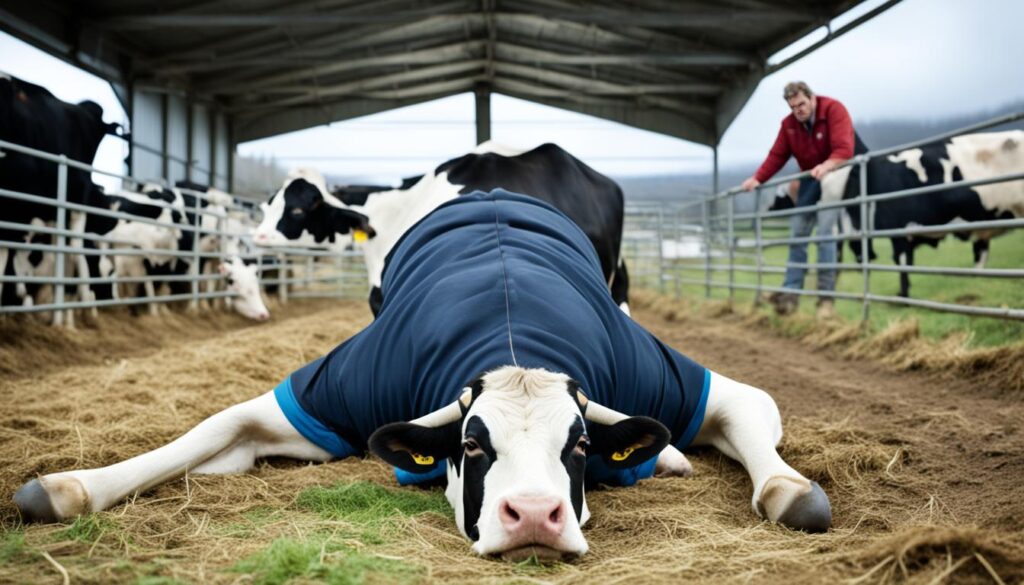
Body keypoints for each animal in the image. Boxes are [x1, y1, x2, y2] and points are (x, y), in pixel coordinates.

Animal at [14, 191, 831, 561]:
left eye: (575, 446)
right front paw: (68, 485)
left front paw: (792, 492)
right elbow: (202, 432)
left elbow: (771, 460)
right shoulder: (328, 390)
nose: (535, 515)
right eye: (471, 445)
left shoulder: (674, 379)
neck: (513, 335)